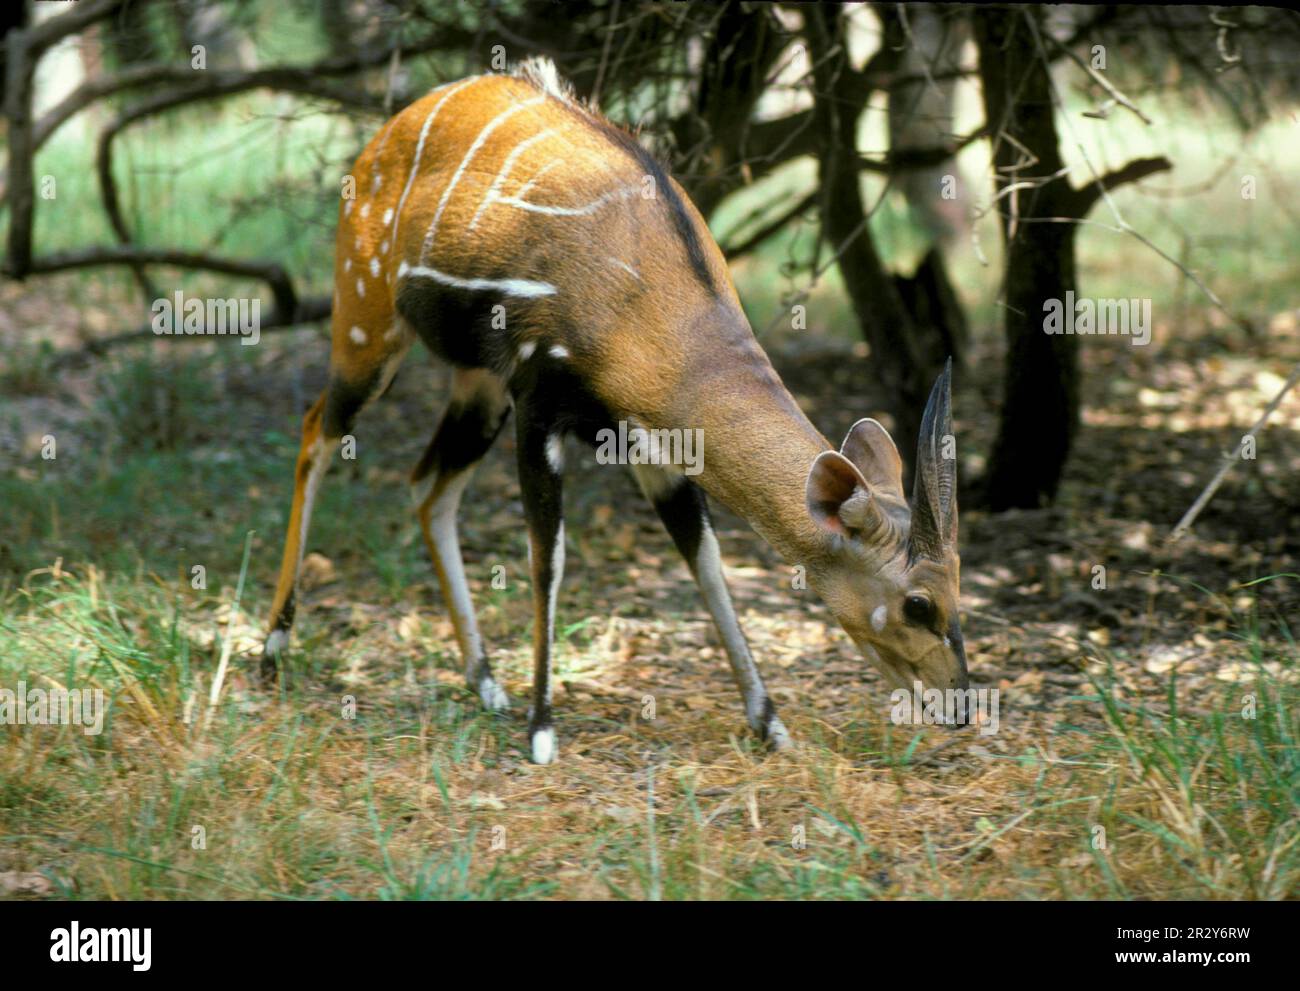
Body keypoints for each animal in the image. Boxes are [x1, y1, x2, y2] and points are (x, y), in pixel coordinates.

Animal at [261, 58, 968, 764]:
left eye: (959, 589)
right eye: (918, 604)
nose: (961, 703)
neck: (654, 315)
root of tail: (386, 133)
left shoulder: (649, 443)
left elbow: (706, 559)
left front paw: (770, 724)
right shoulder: (539, 403)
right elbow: (549, 558)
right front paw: (542, 729)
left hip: (475, 382)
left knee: (427, 484)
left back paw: (485, 682)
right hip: (368, 324)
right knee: (316, 432)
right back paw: (272, 650)